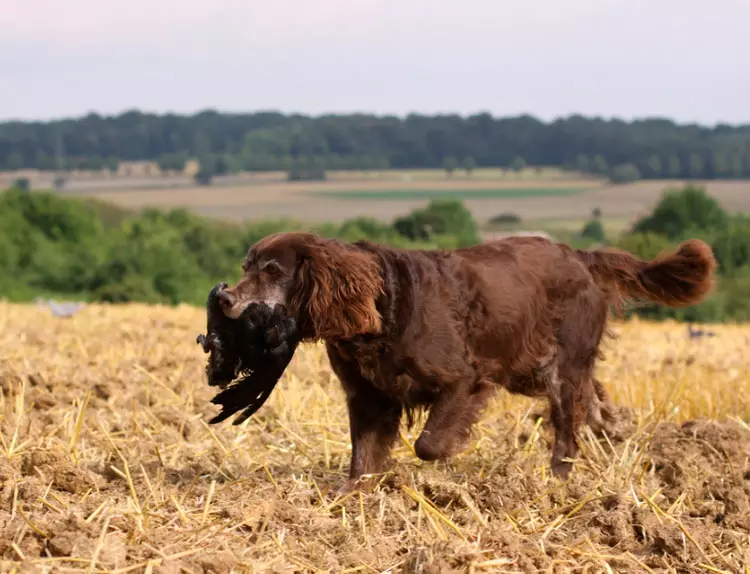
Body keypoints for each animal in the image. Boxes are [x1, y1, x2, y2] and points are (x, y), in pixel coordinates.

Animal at [217, 232, 716, 492]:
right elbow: (362, 453)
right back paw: (615, 437)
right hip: (533, 369)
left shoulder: (463, 380)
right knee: (593, 402)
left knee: (566, 427)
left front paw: (451, 457)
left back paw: (557, 478)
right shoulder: (366, 396)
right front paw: (352, 494)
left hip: (557, 368)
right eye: (245, 267)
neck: (381, 308)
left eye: (273, 272)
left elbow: (429, 443)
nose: (223, 297)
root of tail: (581, 256)